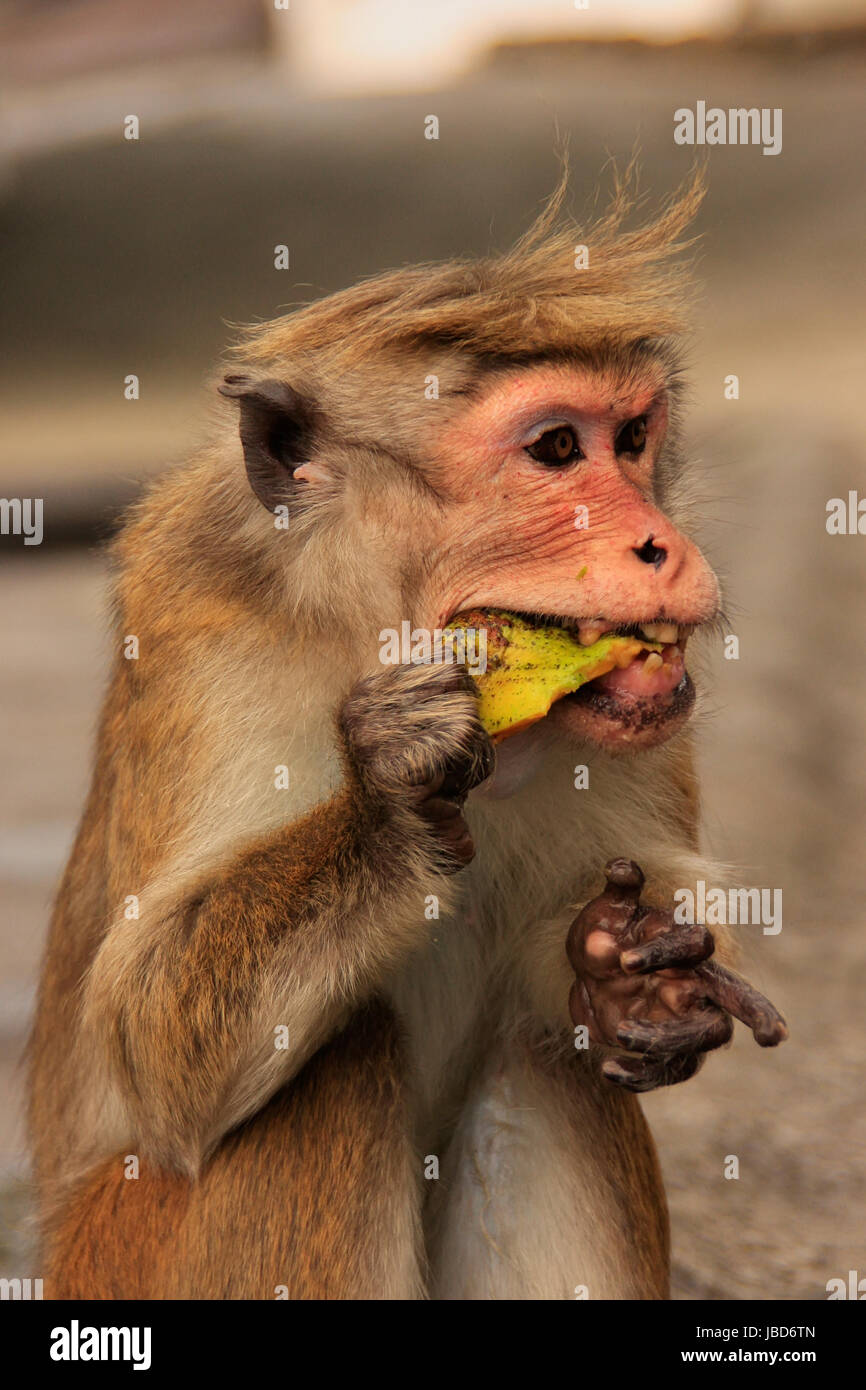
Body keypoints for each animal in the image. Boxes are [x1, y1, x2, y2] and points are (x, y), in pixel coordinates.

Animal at [28, 167, 787, 1301]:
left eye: (632, 439)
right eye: (555, 449)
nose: (657, 542)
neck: (369, 630)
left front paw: (626, 976)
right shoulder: (199, 636)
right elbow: (150, 1039)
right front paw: (389, 798)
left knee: (540, 1060)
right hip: (115, 1258)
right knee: (332, 1068)